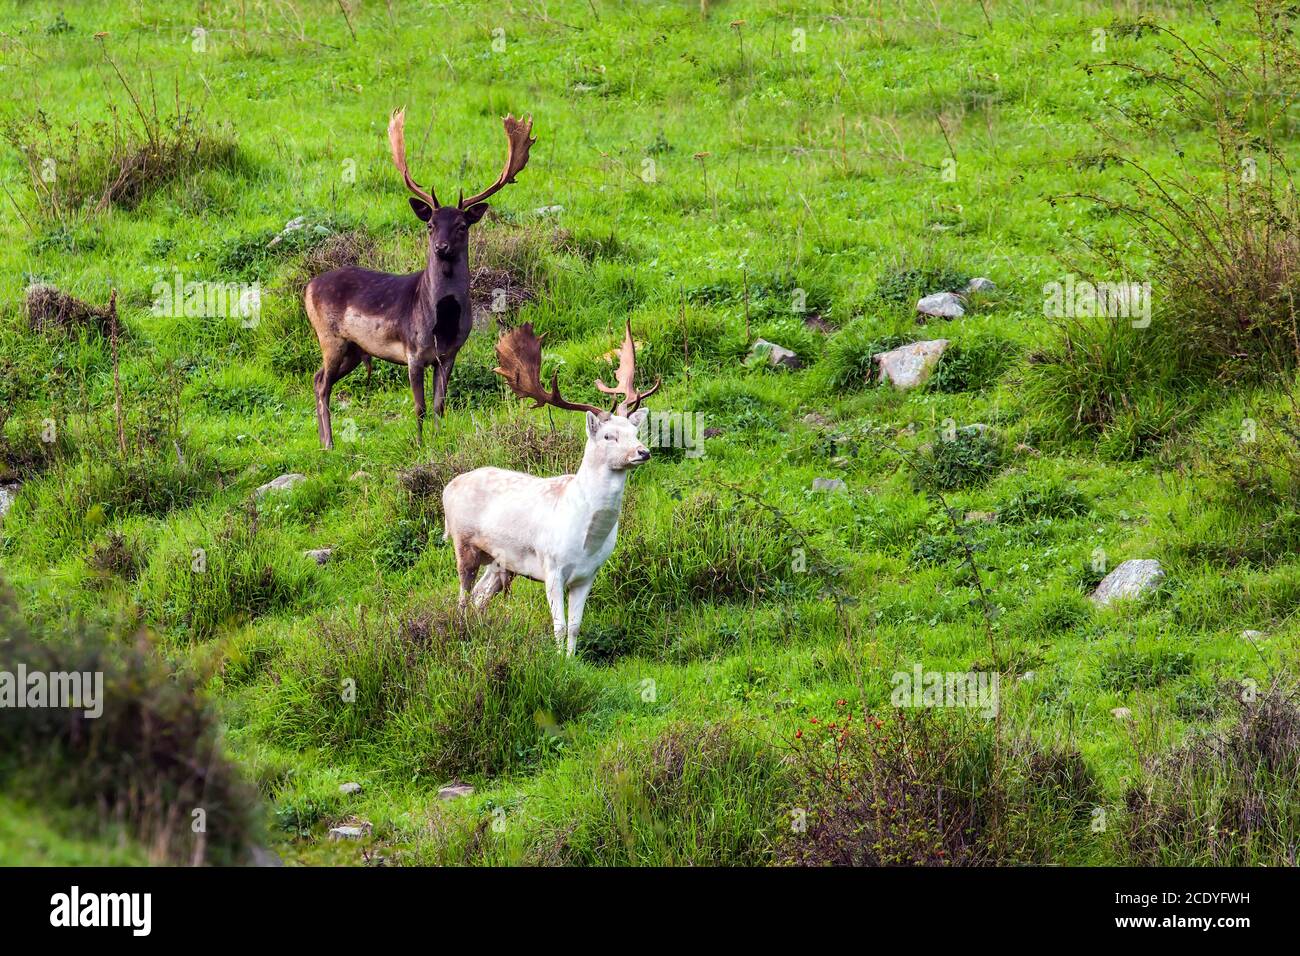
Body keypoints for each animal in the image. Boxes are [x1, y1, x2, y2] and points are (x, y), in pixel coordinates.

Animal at [304, 108, 536, 449]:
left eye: (461, 225)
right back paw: (329, 444)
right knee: (322, 383)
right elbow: (420, 406)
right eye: (430, 225)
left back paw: (324, 442)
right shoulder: (412, 352)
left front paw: (438, 441)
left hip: (354, 349)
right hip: (330, 337)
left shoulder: (449, 354)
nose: (441, 247)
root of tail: (307, 287)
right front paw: (420, 444)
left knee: (318, 377)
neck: (442, 325)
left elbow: (440, 405)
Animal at [442, 320, 660, 656]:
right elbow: (558, 625)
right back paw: (462, 632)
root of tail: (448, 488)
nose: (643, 452)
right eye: (609, 436)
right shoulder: (551, 566)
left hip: (501, 561)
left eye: (635, 432)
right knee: (462, 597)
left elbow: (574, 626)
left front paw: (572, 660)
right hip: (463, 543)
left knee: (480, 596)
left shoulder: (588, 574)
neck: (585, 541)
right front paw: (557, 661)